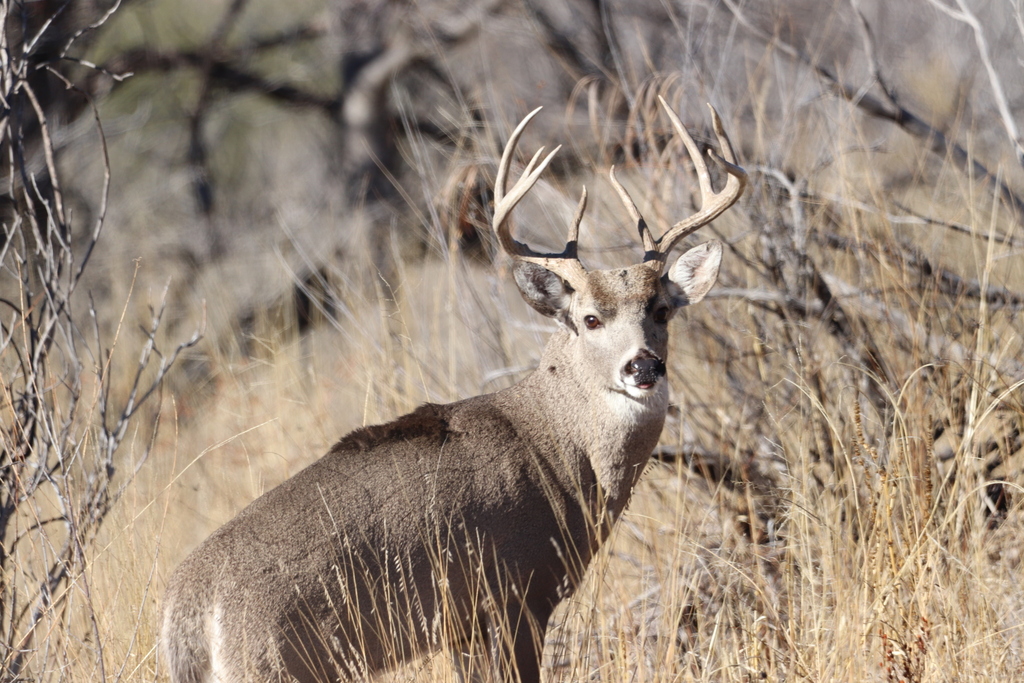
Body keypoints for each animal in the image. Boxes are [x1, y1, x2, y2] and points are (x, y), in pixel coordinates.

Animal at [160, 96, 746, 683]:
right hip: (274, 664)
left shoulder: (462, 626)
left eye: (662, 310)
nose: (642, 365)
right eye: (590, 319)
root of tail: (186, 613)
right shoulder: (515, 595)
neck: (559, 455)